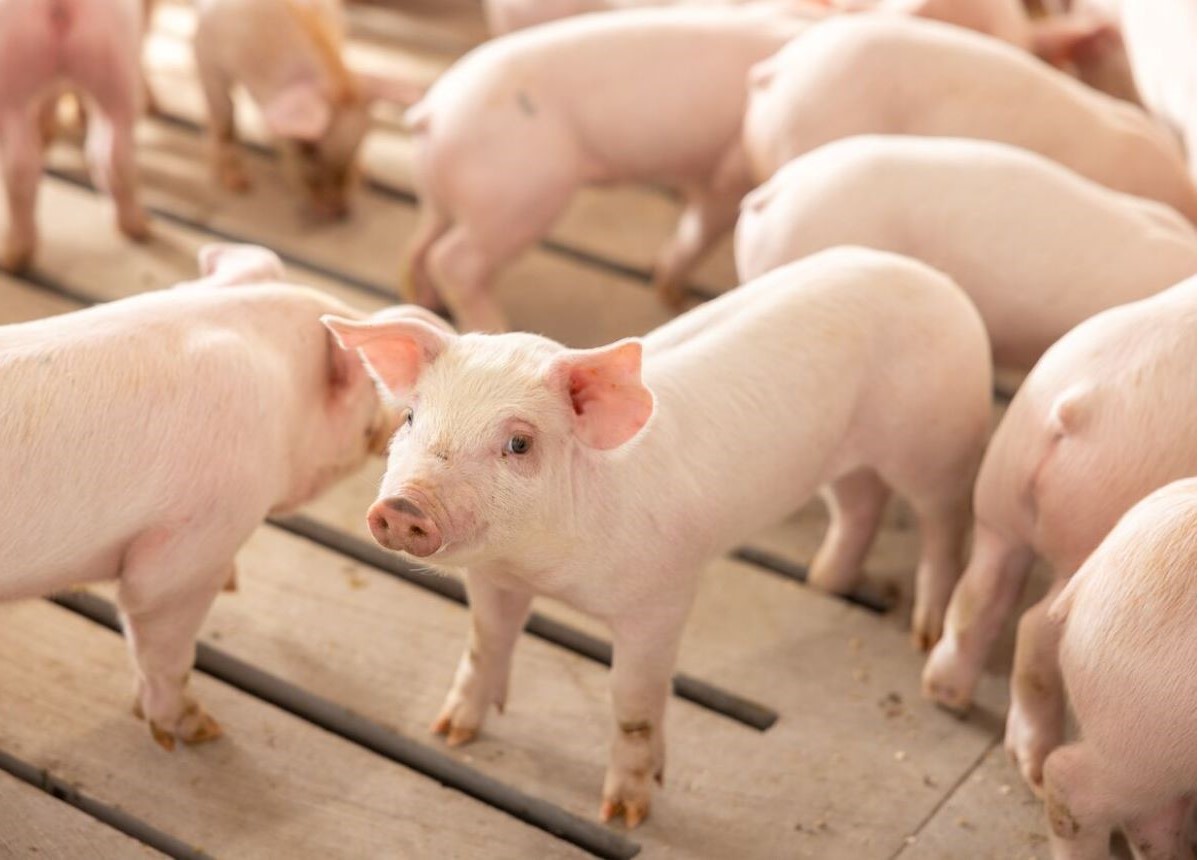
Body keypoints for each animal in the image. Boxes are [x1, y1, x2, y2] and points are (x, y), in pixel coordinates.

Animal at [0, 0, 150, 273]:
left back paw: (12, 257)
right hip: (113, 61)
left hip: (12, 66)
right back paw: (136, 228)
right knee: (112, 155)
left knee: (20, 166)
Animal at [193, 0, 423, 218]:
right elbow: (224, 120)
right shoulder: (206, 57)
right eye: (309, 148)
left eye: (360, 142)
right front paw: (239, 186)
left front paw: (365, 172)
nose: (336, 212)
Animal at [323, 246, 993, 825]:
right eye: (411, 417)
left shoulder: (663, 597)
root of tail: (937, 282)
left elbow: (633, 701)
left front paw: (624, 814)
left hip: (939, 443)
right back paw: (822, 582)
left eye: (519, 443)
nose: (403, 505)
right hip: (843, 461)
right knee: (860, 501)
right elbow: (486, 643)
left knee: (946, 522)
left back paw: (923, 632)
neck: (546, 570)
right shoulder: (494, 577)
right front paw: (449, 733)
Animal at [401, 4, 822, 331]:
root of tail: (432, 111)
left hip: (445, 194)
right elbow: (703, 226)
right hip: (519, 193)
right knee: (451, 259)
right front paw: (675, 297)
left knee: (423, 245)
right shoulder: (730, 170)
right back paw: (494, 325)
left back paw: (428, 301)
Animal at [921, 279, 1197, 791]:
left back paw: (946, 693)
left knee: (977, 595)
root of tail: (1075, 404)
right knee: (1035, 626)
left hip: (1000, 498)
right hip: (1090, 531)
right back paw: (1032, 764)